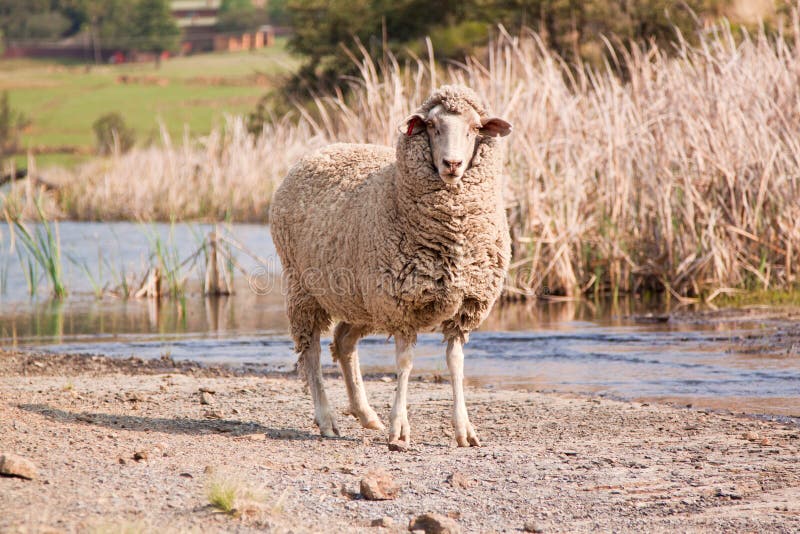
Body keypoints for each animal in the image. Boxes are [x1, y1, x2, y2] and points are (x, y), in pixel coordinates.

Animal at [269, 84, 512, 448]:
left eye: (474, 128)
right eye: (432, 126)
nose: (452, 164)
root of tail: (321, 151)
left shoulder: (463, 308)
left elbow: (456, 364)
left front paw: (464, 430)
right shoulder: (401, 306)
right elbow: (405, 364)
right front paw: (399, 429)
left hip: (361, 300)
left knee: (343, 343)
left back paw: (366, 414)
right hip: (303, 286)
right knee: (310, 350)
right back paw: (327, 419)